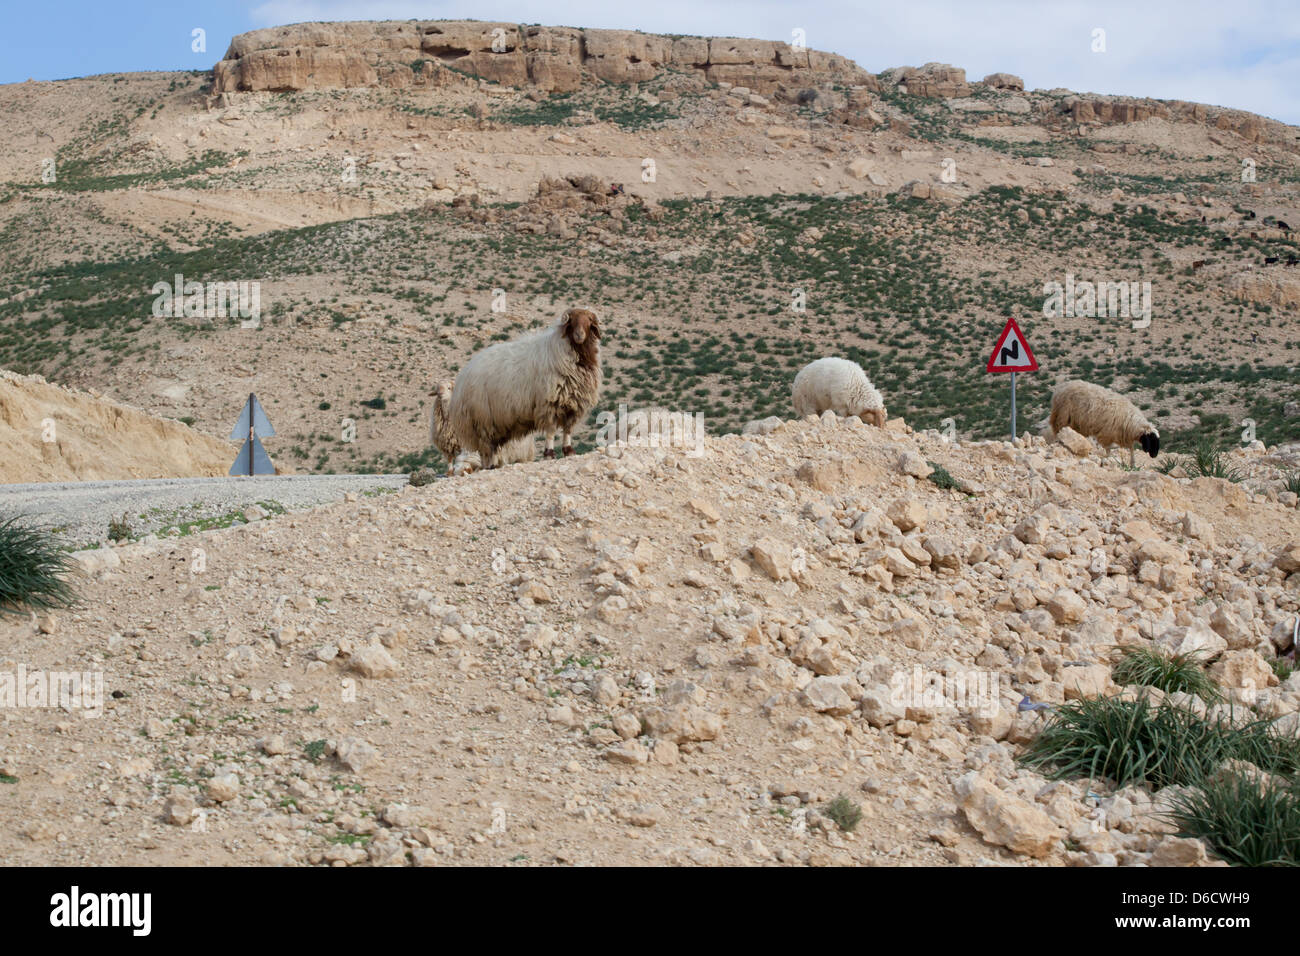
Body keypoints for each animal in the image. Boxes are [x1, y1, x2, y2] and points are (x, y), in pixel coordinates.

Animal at [449, 308, 602, 468]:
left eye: (589, 321)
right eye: (571, 321)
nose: (579, 335)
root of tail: (462, 378)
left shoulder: (574, 404)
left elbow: (568, 429)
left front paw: (569, 451)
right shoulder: (549, 404)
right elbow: (551, 430)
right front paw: (549, 454)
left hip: (494, 423)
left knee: (492, 446)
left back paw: (494, 465)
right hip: (482, 420)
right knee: (485, 447)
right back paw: (489, 465)